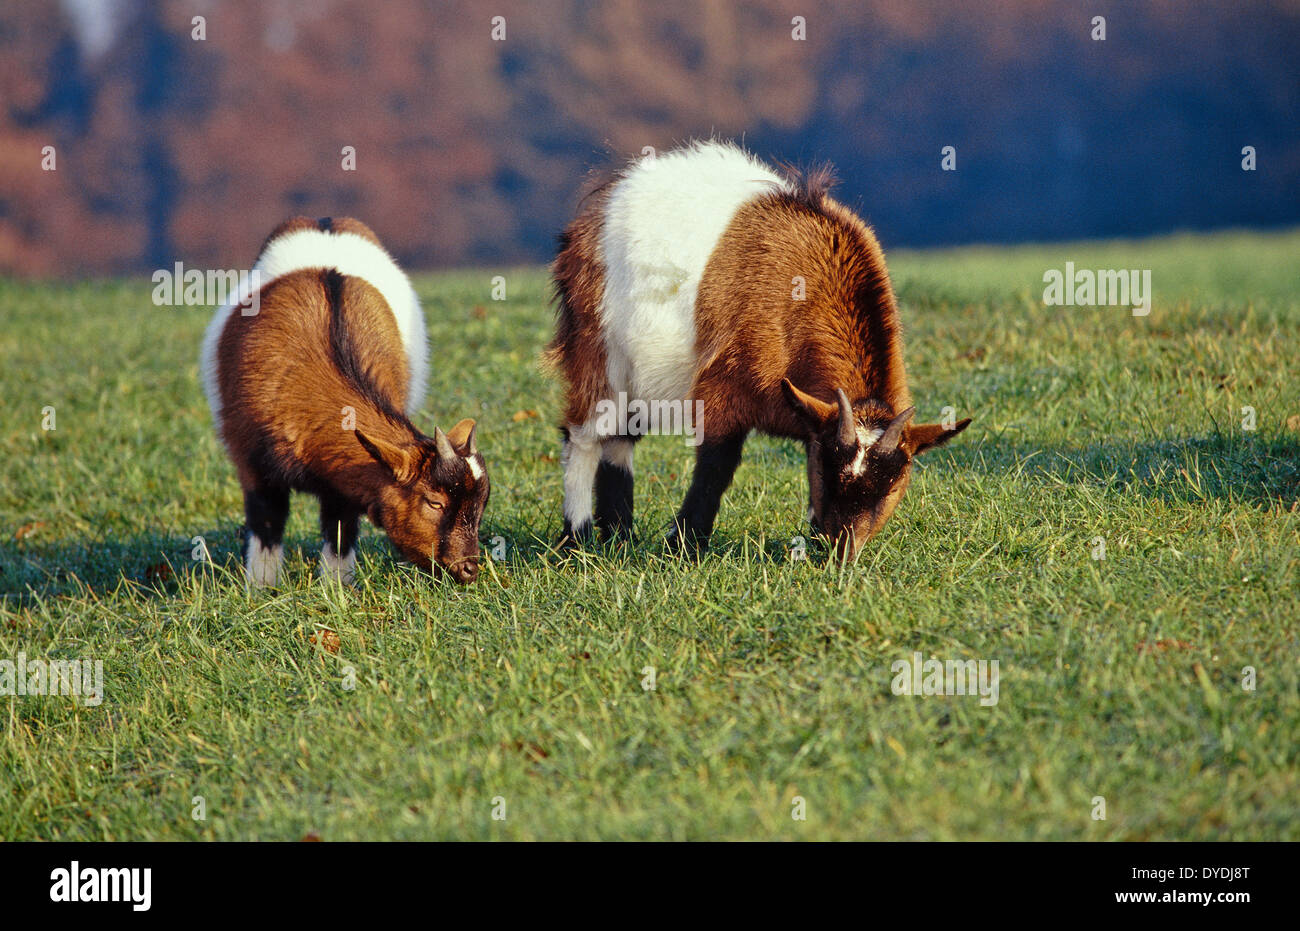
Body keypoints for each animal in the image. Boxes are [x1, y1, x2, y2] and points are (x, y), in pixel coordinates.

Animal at [200, 216, 488, 586]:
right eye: (434, 502)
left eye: (481, 505)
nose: (468, 569)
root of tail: (323, 221)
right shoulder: (252, 462)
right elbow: (267, 521)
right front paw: (262, 587)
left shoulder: (345, 474)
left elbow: (340, 526)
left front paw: (337, 586)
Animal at [547, 141, 969, 560]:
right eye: (830, 474)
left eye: (892, 486)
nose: (843, 553)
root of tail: (599, 209)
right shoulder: (723, 387)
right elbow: (717, 465)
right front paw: (683, 546)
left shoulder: (812, 415)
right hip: (599, 346)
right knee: (585, 435)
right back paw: (577, 539)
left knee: (620, 438)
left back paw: (619, 536)